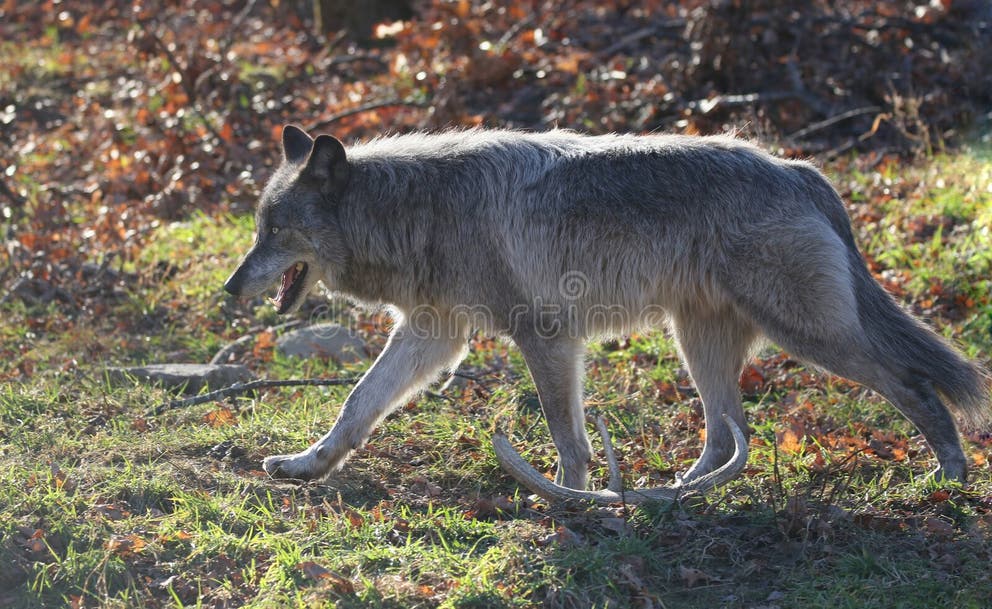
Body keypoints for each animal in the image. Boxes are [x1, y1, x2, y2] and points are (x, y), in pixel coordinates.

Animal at [224, 125, 989, 499]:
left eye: (273, 231)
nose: (230, 286)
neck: (416, 207)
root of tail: (800, 170)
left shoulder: (546, 337)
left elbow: (568, 439)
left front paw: (567, 503)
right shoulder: (435, 336)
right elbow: (357, 403)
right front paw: (307, 465)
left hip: (811, 337)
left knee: (913, 384)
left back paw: (949, 477)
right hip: (698, 343)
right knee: (726, 436)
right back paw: (682, 493)